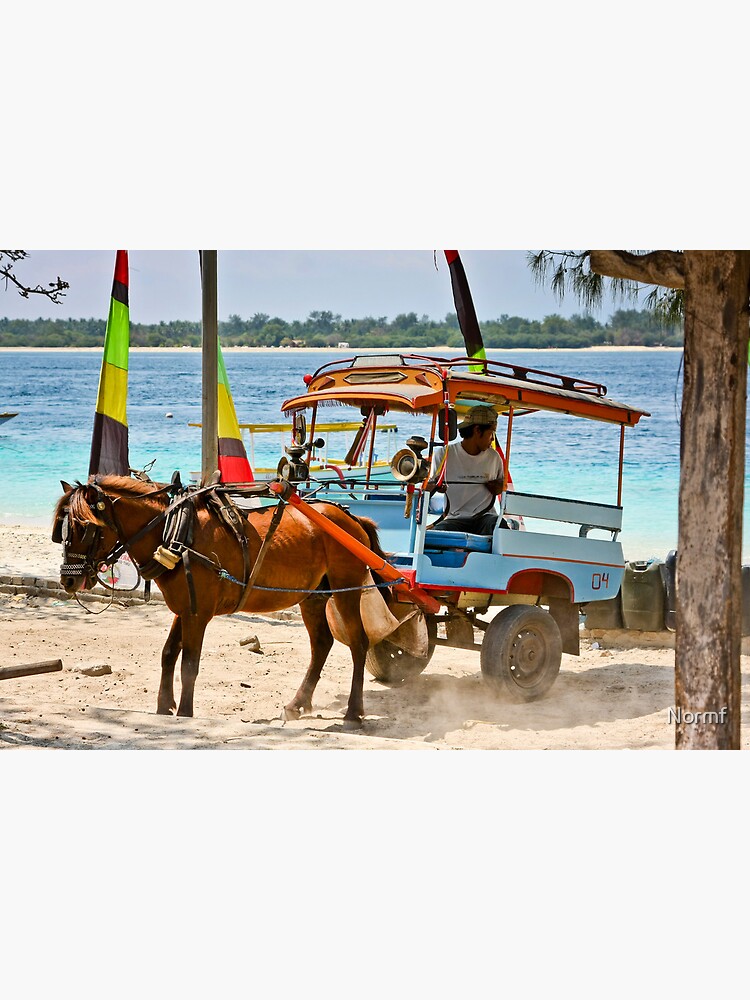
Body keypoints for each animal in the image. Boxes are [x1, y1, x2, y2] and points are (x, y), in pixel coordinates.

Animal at [52, 475, 388, 725]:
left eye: (85, 527)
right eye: (61, 530)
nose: (68, 580)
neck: (175, 533)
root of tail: (351, 517)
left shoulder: (197, 614)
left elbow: (189, 664)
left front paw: (185, 713)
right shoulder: (184, 608)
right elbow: (168, 654)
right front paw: (163, 708)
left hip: (347, 589)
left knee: (358, 643)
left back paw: (353, 712)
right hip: (313, 597)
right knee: (321, 644)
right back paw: (297, 704)